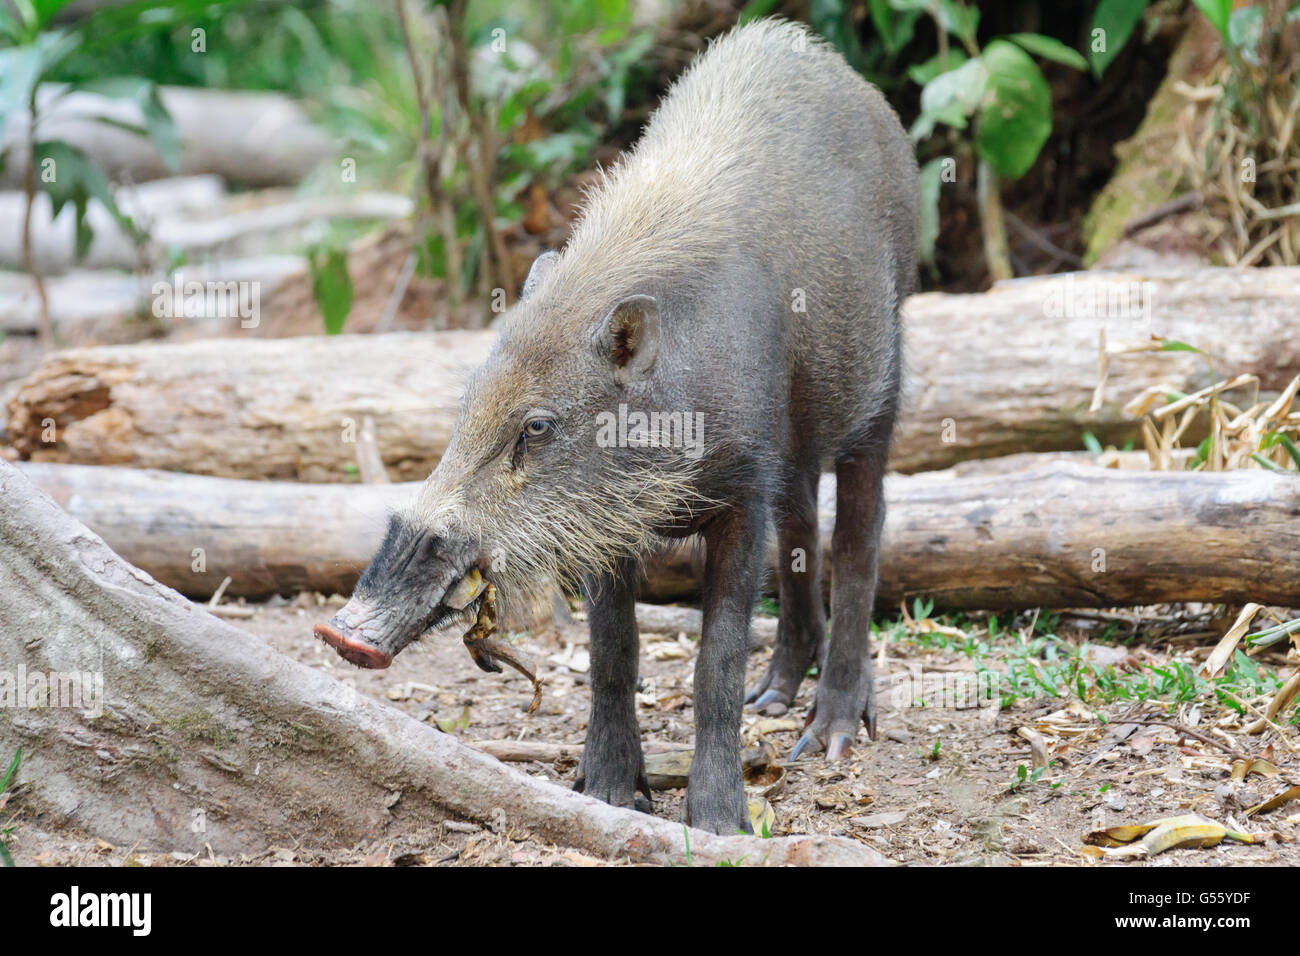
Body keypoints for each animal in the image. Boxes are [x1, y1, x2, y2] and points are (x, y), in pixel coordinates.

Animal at [315, 18, 918, 835]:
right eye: (468, 402)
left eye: (537, 427)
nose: (340, 634)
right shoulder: (606, 520)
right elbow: (614, 651)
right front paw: (604, 795)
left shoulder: (740, 491)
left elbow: (715, 656)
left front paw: (719, 824)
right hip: (792, 456)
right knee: (802, 529)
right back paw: (773, 700)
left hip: (882, 374)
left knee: (861, 530)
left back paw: (828, 738)